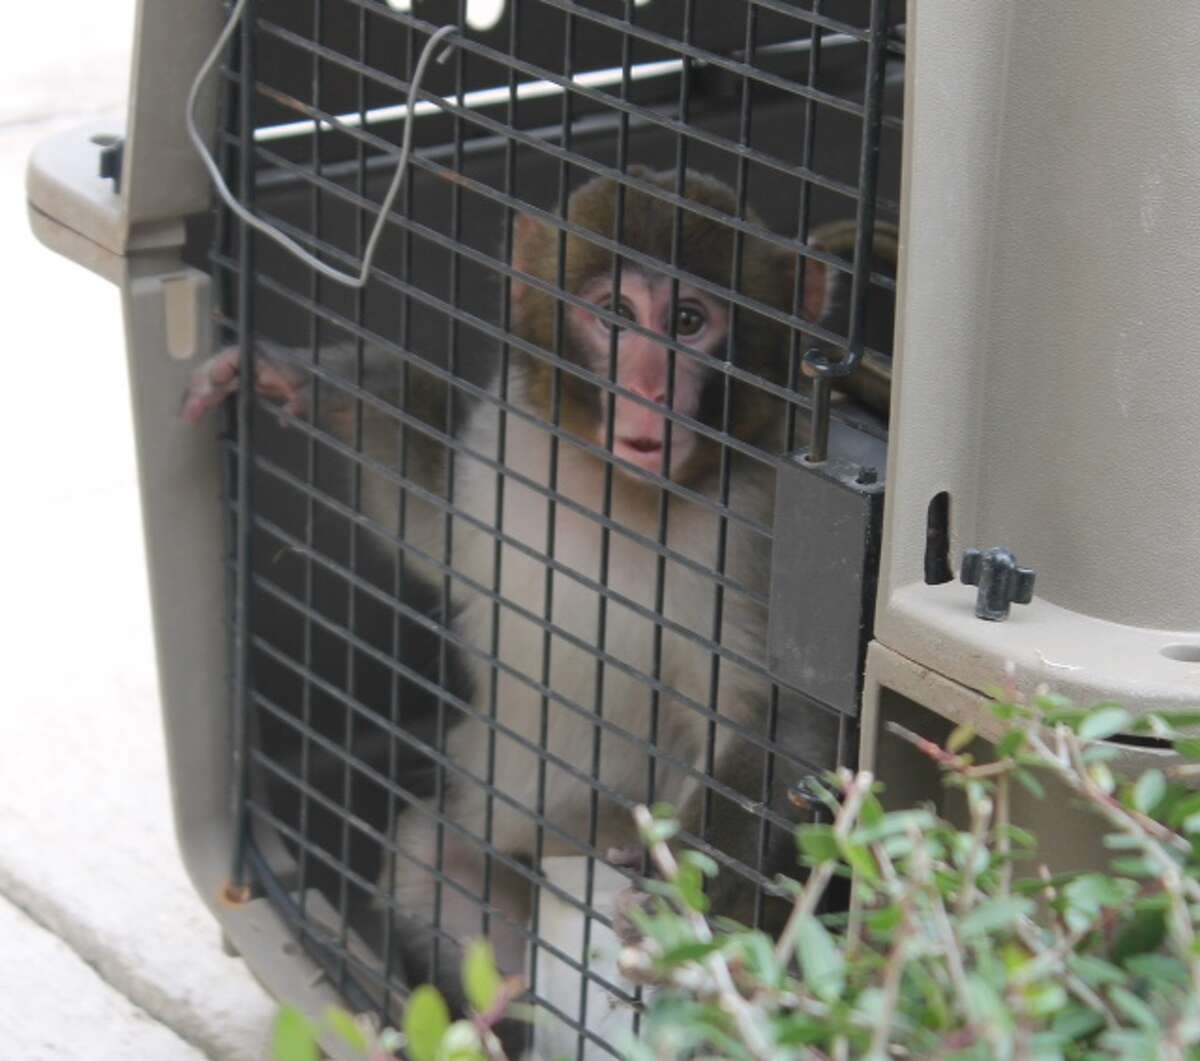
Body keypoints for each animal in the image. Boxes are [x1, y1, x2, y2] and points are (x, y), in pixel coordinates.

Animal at [182, 166, 897, 1029]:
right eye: (615, 315)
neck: (623, 491)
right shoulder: (509, 447)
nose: (647, 387)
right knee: (430, 863)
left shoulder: (757, 531)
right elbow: (436, 532)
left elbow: (779, 723)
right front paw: (316, 379)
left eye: (688, 322)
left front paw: (678, 895)